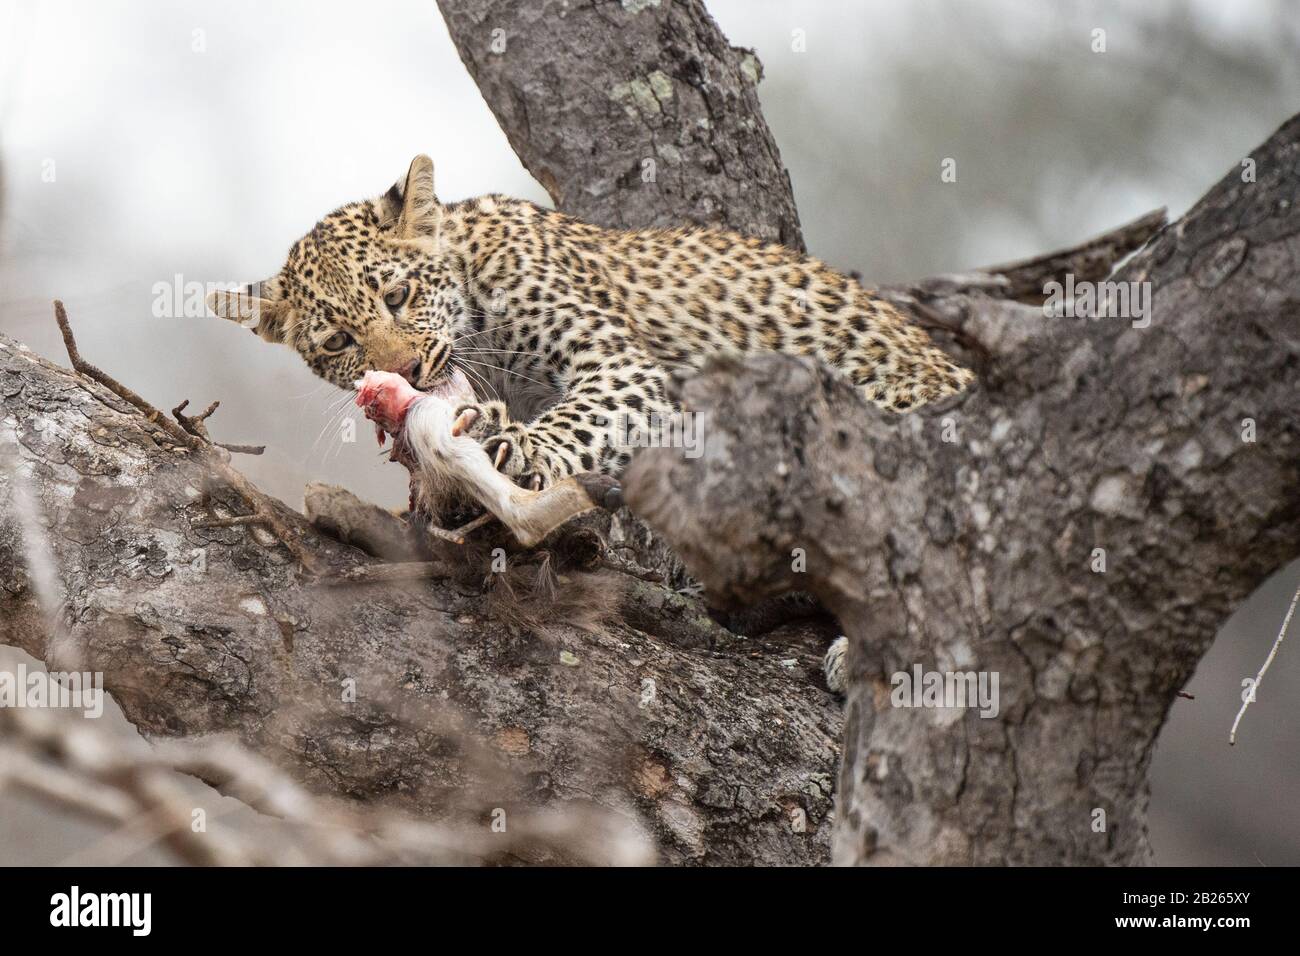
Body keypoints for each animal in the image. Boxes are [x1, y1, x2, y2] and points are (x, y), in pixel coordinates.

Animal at [207, 155, 974, 692]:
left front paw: (516, 449)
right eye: (339, 342)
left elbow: (578, 420)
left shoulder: (620, 363)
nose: (409, 372)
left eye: (397, 295)